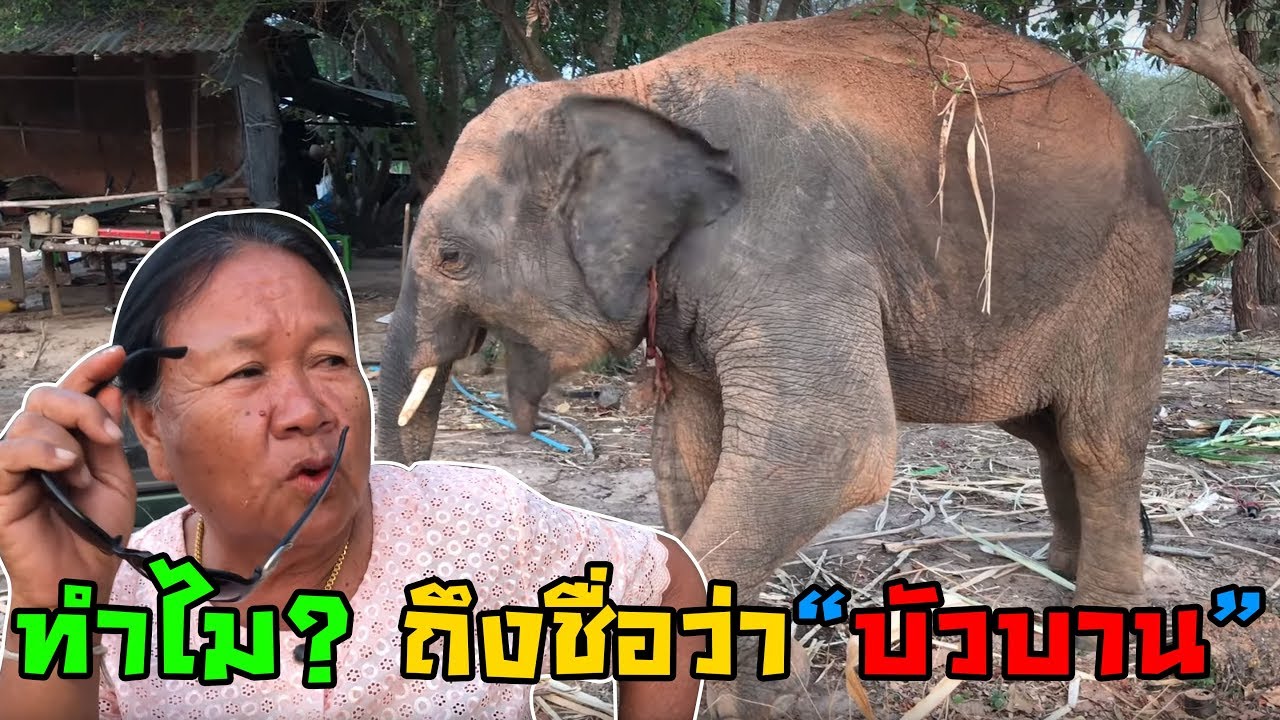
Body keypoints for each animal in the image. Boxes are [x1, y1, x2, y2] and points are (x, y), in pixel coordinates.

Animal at [375, 5, 1174, 717]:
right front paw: (755, 695)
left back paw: (1098, 630)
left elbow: (828, 451)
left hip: (1129, 273)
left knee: (1096, 441)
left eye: (451, 257)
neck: (634, 88)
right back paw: (1061, 568)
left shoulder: (790, 241)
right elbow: (688, 455)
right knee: (1044, 430)